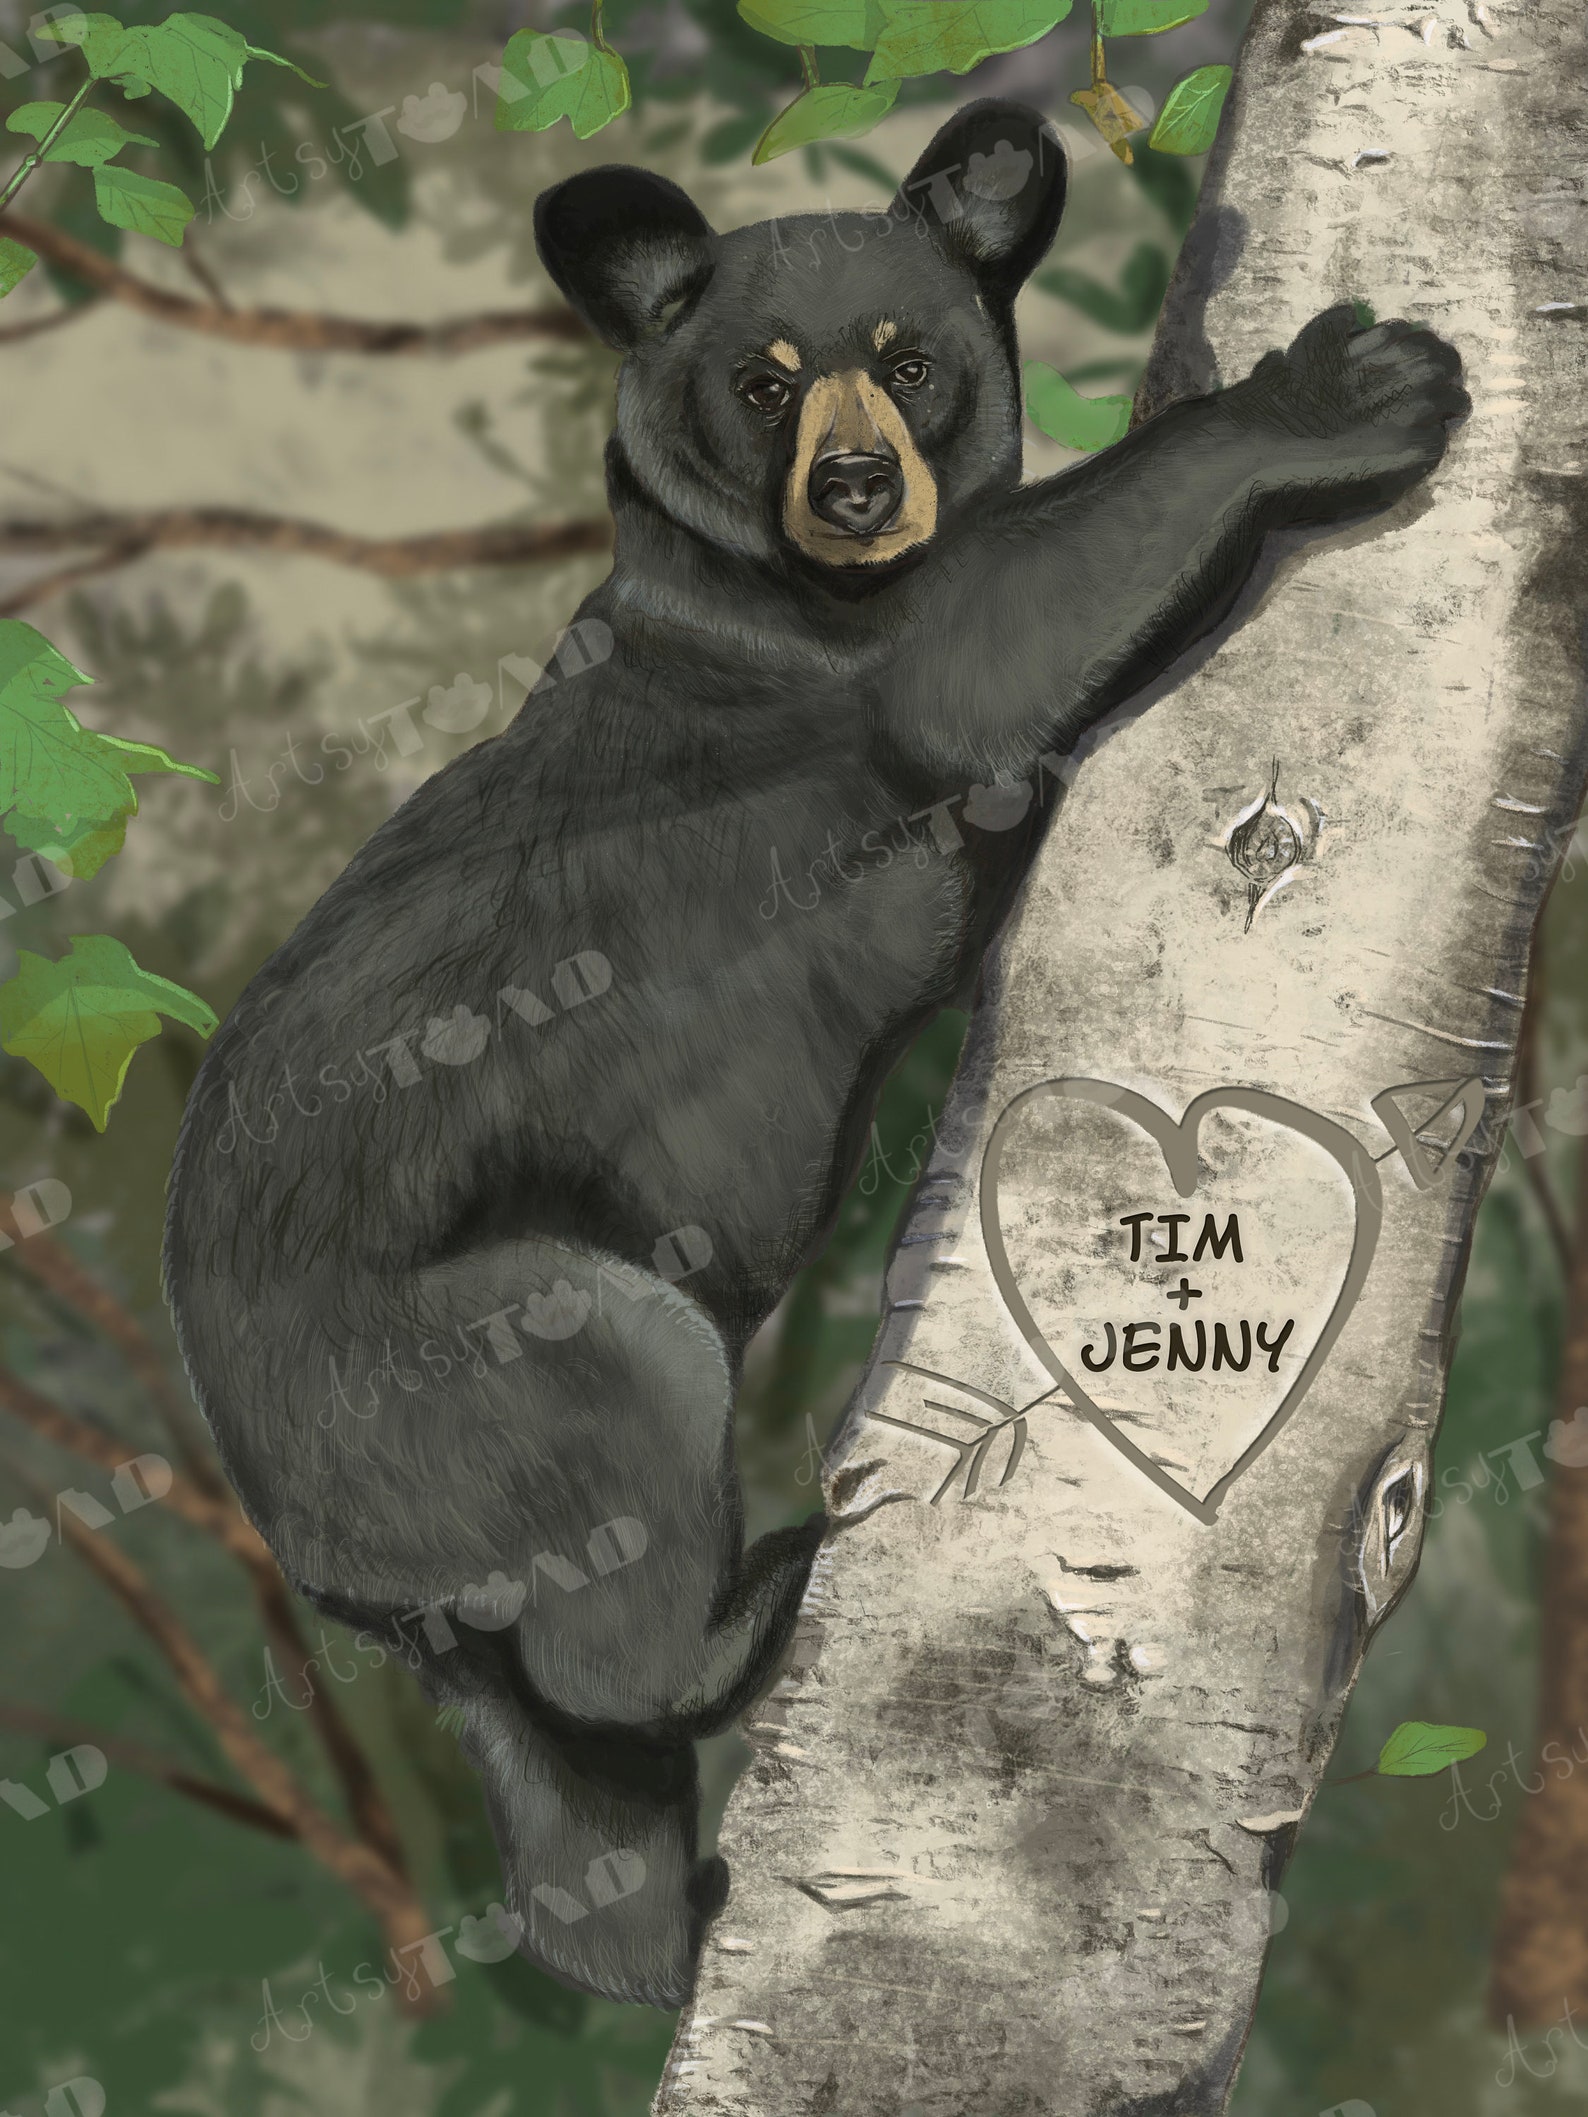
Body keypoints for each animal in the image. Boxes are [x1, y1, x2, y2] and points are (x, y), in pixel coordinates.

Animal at [162, 97, 1467, 2009]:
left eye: (907, 357)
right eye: (763, 382)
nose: (854, 488)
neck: (766, 576)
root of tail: (301, 1540)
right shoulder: (834, 669)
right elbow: (988, 635)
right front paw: (1356, 382)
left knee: (582, 1796)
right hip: (458, 1359)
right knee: (613, 1444)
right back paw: (768, 1588)